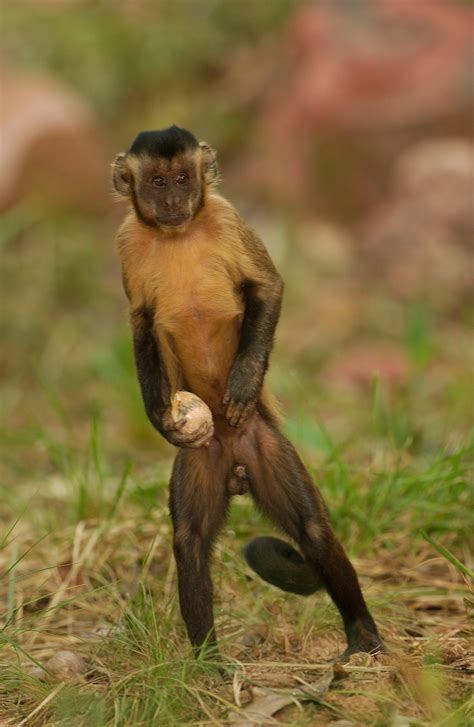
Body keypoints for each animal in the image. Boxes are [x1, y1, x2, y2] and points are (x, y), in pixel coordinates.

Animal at [112, 125, 384, 662]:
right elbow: (141, 325)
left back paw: (362, 632)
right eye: (156, 182)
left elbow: (269, 287)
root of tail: (235, 460)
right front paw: (162, 418)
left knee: (312, 530)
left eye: (182, 178)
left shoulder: (226, 218)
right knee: (190, 541)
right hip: (205, 457)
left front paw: (241, 384)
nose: (173, 200)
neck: (179, 234)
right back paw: (208, 663)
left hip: (264, 444)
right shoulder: (127, 241)